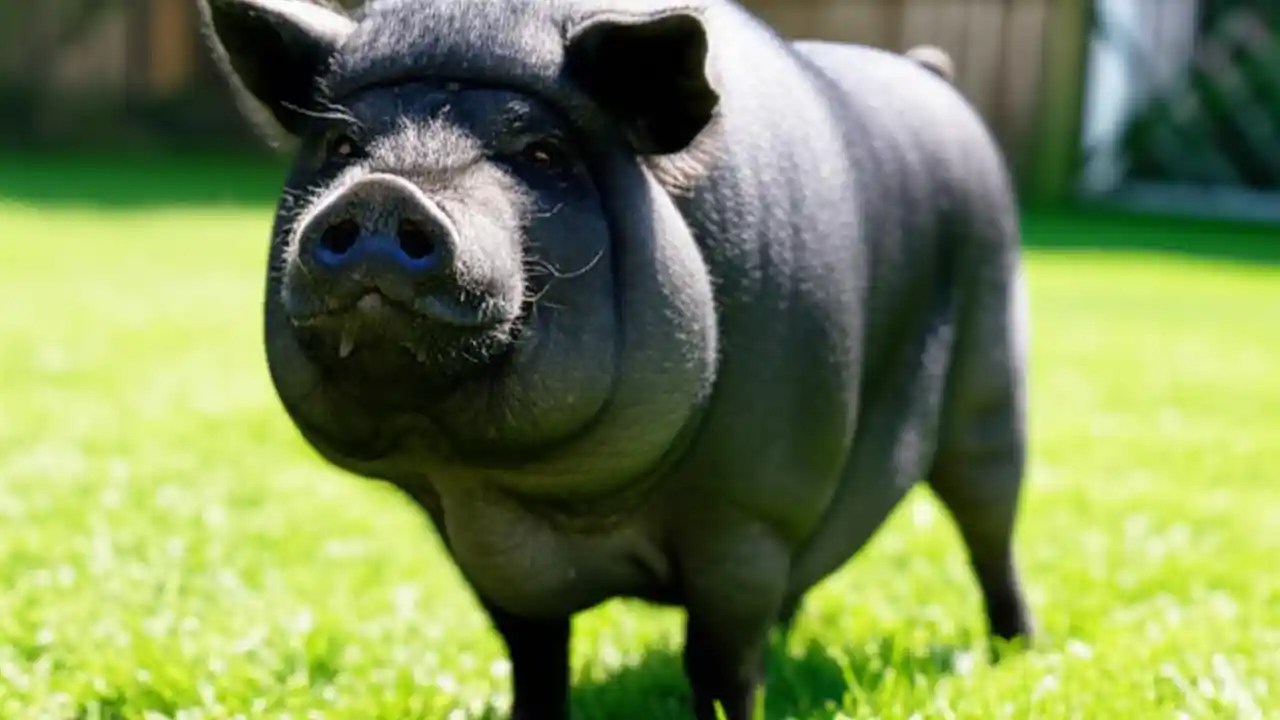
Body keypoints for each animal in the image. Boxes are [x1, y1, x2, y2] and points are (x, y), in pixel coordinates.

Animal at [199, 0, 1035, 718]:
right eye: (343, 146)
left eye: (543, 151)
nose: (379, 191)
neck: (550, 501)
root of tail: (931, 72)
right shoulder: (481, 553)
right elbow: (533, 657)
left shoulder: (749, 510)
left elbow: (721, 664)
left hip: (992, 385)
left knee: (989, 527)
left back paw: (1016, 648)